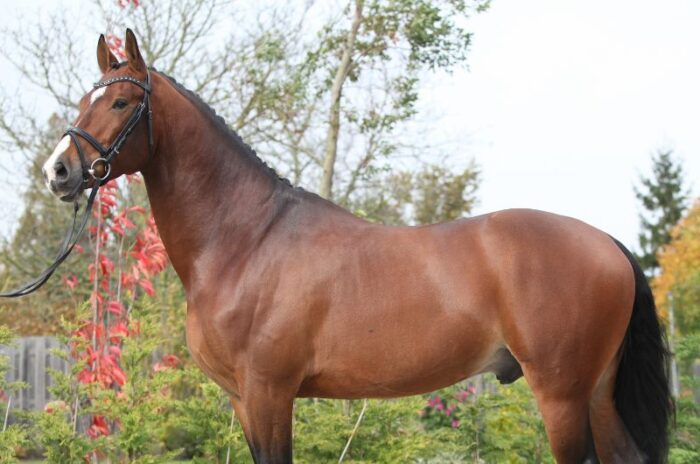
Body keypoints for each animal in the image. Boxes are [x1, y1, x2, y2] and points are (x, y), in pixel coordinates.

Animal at [41, 29, 672, 463]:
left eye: (122, 102)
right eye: (85, 99)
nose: (59, 171)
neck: (245, 240)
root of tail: (607, 241)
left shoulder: (270, 393)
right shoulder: (244, 399)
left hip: (562, 394)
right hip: (596, 392)